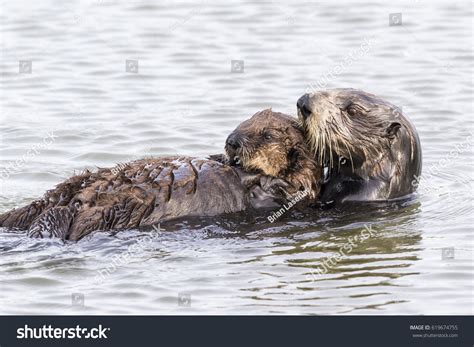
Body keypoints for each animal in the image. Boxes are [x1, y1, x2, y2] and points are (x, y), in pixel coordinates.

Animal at [0, 109, 320, 239]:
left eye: (266, 135)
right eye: (244, 122)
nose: (231, 140)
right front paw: (217, 157)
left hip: (117, 206)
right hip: (78, 189)